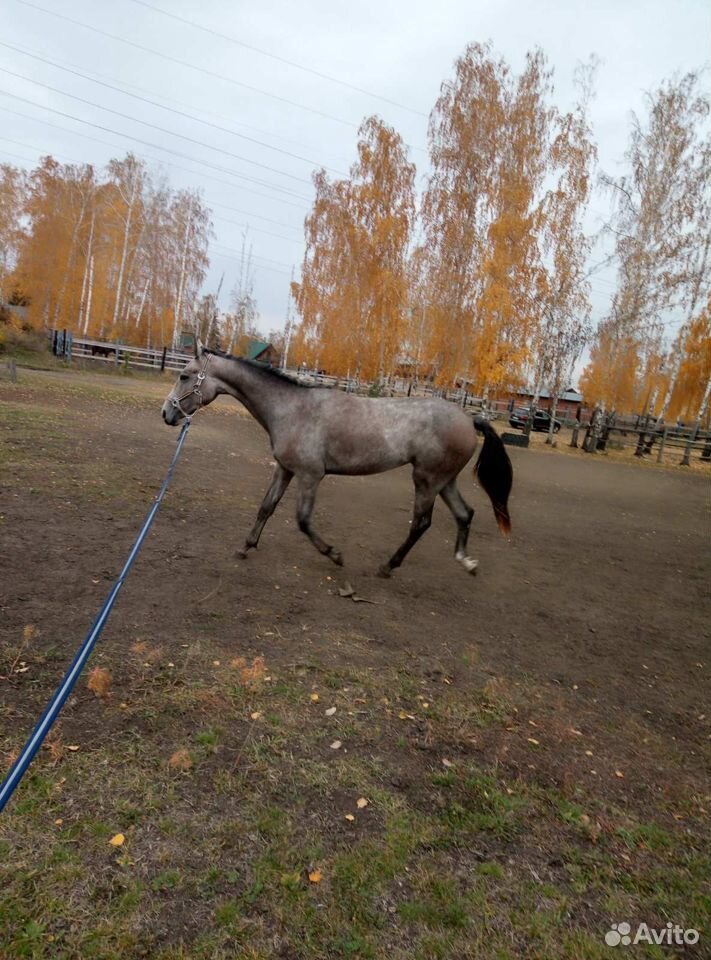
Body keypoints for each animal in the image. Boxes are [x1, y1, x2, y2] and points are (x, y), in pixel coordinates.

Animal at [162, 344, 513, 578]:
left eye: (185, 376)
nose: (167, 414)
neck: (292, 409)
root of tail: (468, 418)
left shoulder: (310, 475)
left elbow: (303, 520)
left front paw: (335, 555)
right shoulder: (285, 470)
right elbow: (266, 507)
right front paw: (246, 547)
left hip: (426, 480)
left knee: (422, 523)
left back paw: (387, 566)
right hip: (443, 481)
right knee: (464, 514)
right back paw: (466, 562)